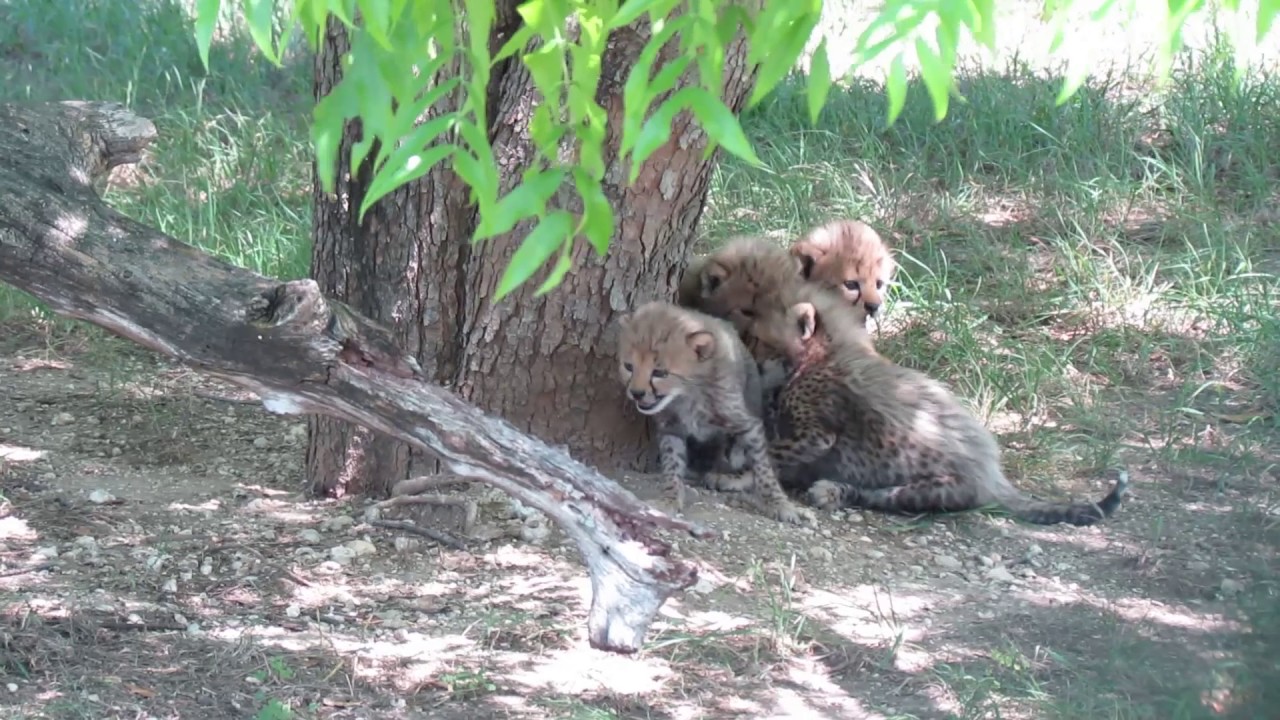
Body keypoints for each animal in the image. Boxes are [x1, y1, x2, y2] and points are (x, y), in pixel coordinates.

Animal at [615, 300, 816, 526]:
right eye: (628, 366)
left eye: (660, 372)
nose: (636, 393)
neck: (689, 393)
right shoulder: (671, 429)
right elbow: (672, 463)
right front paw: (670, 497)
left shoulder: (747, 424)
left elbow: (763, 468)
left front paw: (779, 503)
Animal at [743, 282, 1129, 526]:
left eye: (759, 338)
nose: (748, 355)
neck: (821, 354)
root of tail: (994, 475)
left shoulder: (816, 434)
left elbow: (770, 449)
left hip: (933, 487)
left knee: (881, 496)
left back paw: (834, 490)